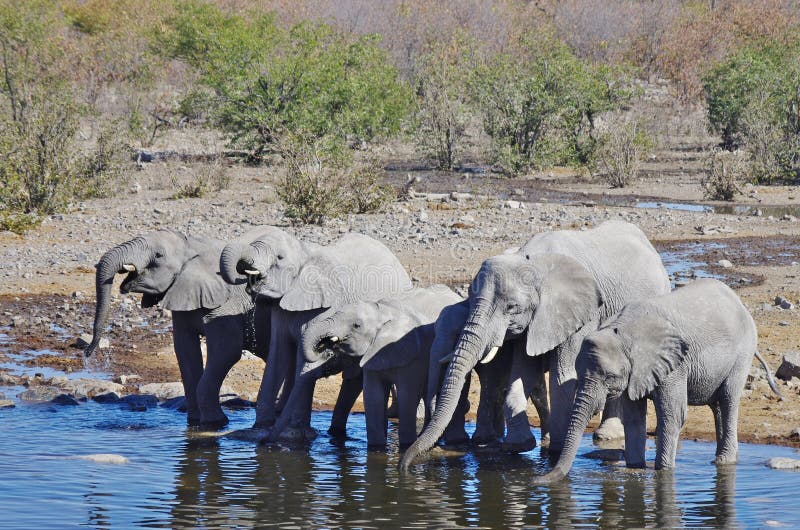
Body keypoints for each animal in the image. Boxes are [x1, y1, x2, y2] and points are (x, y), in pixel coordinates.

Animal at [84, 230, 270, 428]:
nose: (87, 352)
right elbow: (184, 350)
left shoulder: (228, 304)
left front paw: (215, 423)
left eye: (158, 255)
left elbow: (226, 351)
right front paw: (195, 422)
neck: (193, 246)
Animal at [219, 226, 412, 437]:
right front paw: (260, 429)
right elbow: (278, 355)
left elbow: (301, 357)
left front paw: (294, 435)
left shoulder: (325, 306)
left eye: (279, 257)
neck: (305, 253)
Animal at [298, 285, 461, 447]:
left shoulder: (412, 353)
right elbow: (373, 396)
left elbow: (407, 395)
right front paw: (376, 448)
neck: (383, 312)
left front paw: (406, 445)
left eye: (356, 325)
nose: (325, 344)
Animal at [401, 220, 671, 470]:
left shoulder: (580, 313)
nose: (403, 466)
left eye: (512, 307)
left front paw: (556, 452)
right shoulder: (531, 324)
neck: (534, 262)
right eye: (469, 296)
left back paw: (605, 436)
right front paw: (519, 446)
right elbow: (524, 373)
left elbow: (563, 376)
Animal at [535, 278, 783, 482]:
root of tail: (739, 303)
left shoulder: (675, 364)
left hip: (743, 353)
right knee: (718, 406)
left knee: (729, 399)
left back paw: (724, 462)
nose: (536, 480)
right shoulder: (635, 373)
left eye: (610, 377)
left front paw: (663, 472)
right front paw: (635, 469)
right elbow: (634, 418)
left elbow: (673, 415)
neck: (624, 331)